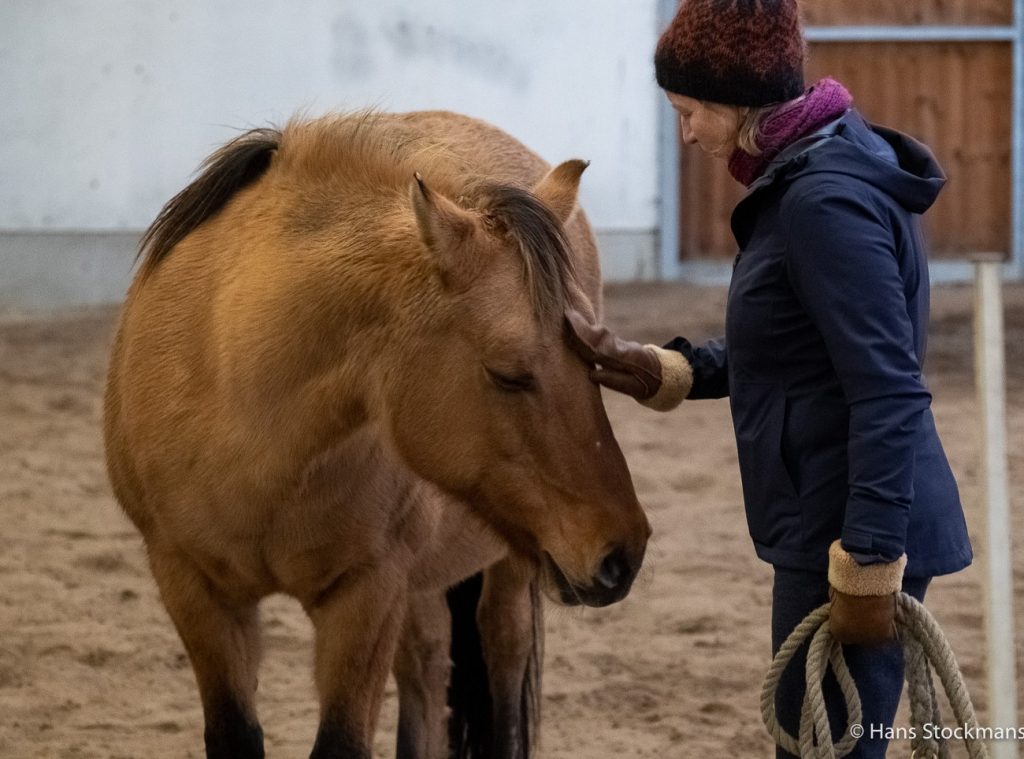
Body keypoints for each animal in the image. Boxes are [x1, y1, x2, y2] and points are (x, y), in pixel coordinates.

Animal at [103, 110, 649, 759]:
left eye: (596, 362)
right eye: (508, 374)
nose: (624, 554)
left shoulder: (367, 595)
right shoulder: (193, 589)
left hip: (512, 565)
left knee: (502, 651)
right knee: (427, 666)